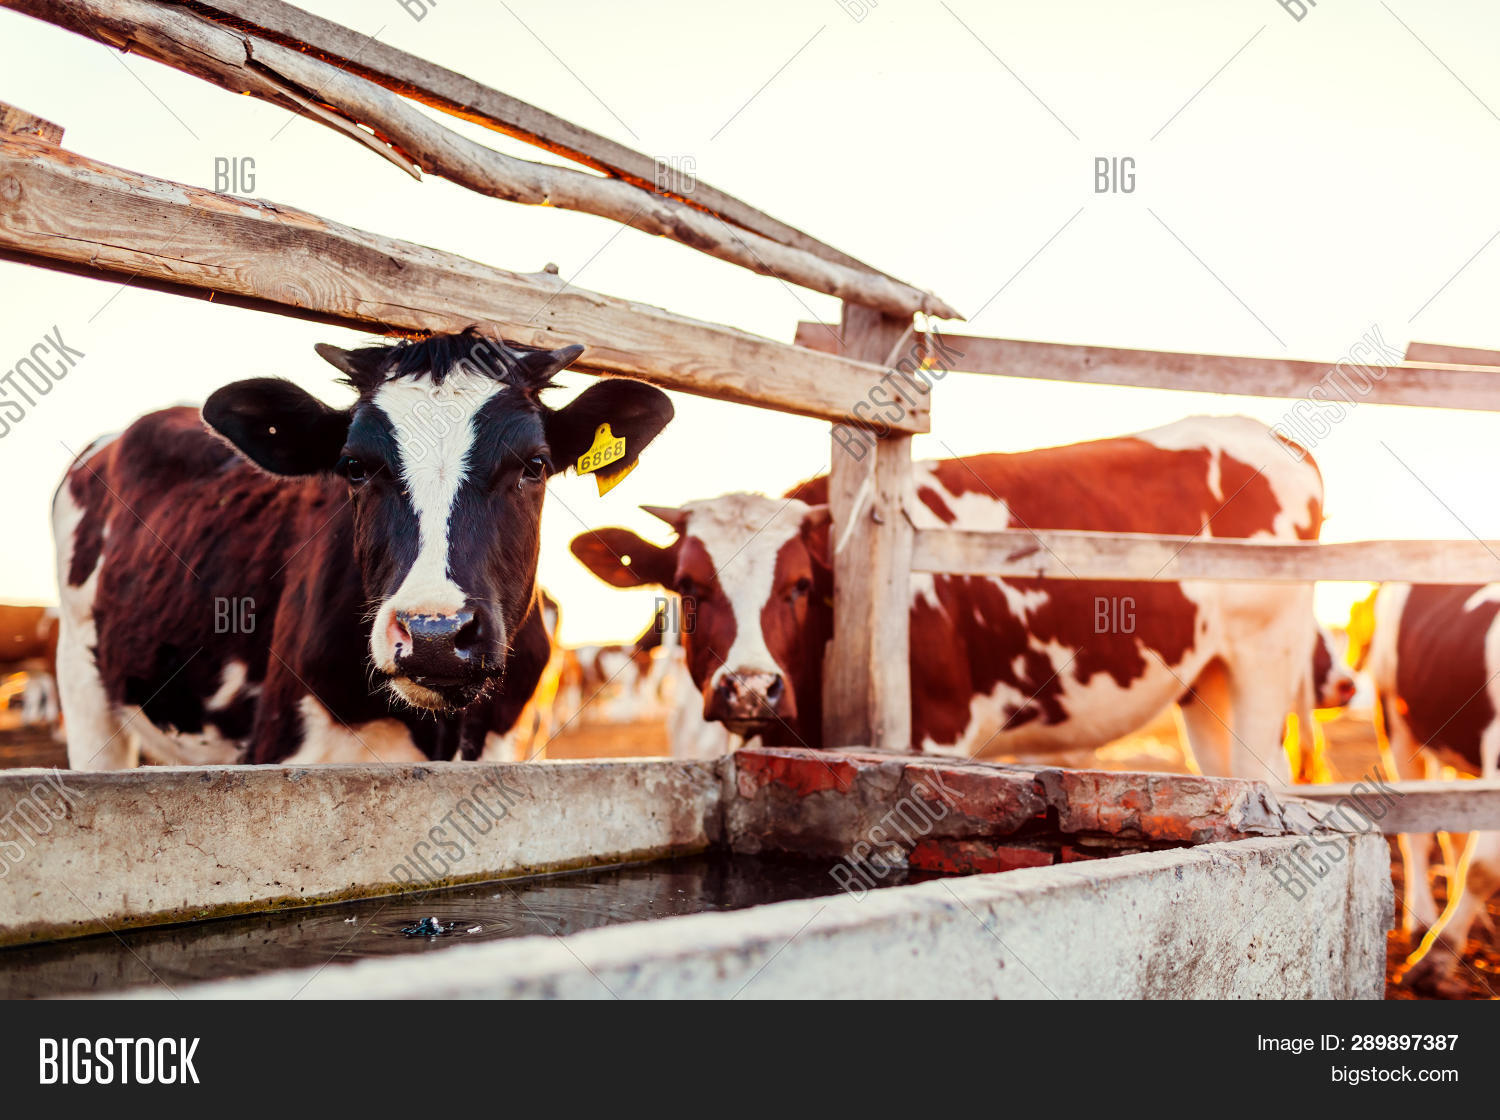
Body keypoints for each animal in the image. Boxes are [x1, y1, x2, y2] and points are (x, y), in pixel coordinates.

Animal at [572, 415, 1322, 783]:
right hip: (1206, 682)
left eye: (800, 585)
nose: (751, 688)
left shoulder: (939, 726)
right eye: (688, 587)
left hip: (1264, 662)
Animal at [1354, 583, 1500, 990]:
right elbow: (1485, 868)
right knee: (1418, 834)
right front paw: (1435, 958)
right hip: (1396, 718)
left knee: (1455, 832)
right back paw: (1423, 923)